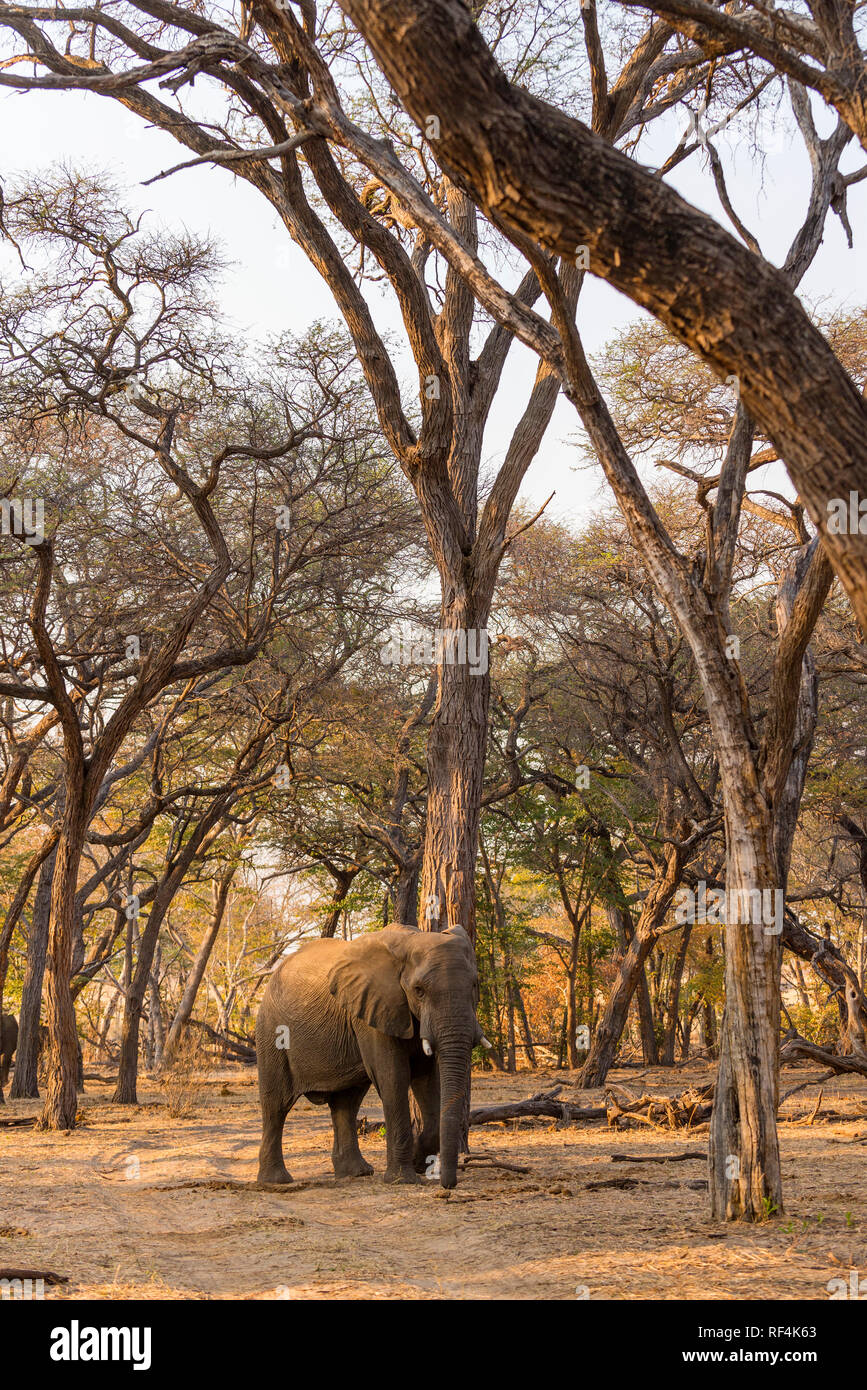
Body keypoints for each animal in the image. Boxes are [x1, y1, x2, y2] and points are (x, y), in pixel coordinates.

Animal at [255, 922, 485, 1189]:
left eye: (475, 985)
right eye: (418, 991)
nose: (448, 1185)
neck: (412, 939)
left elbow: (427, 1079)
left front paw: (418, 1162)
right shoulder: (373, 1010)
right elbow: (393, 1077)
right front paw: (403, 1180)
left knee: (346, 1104)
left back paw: (357, 1173)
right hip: (271, 1031)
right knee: (277, 1105)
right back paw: (277, 1181)